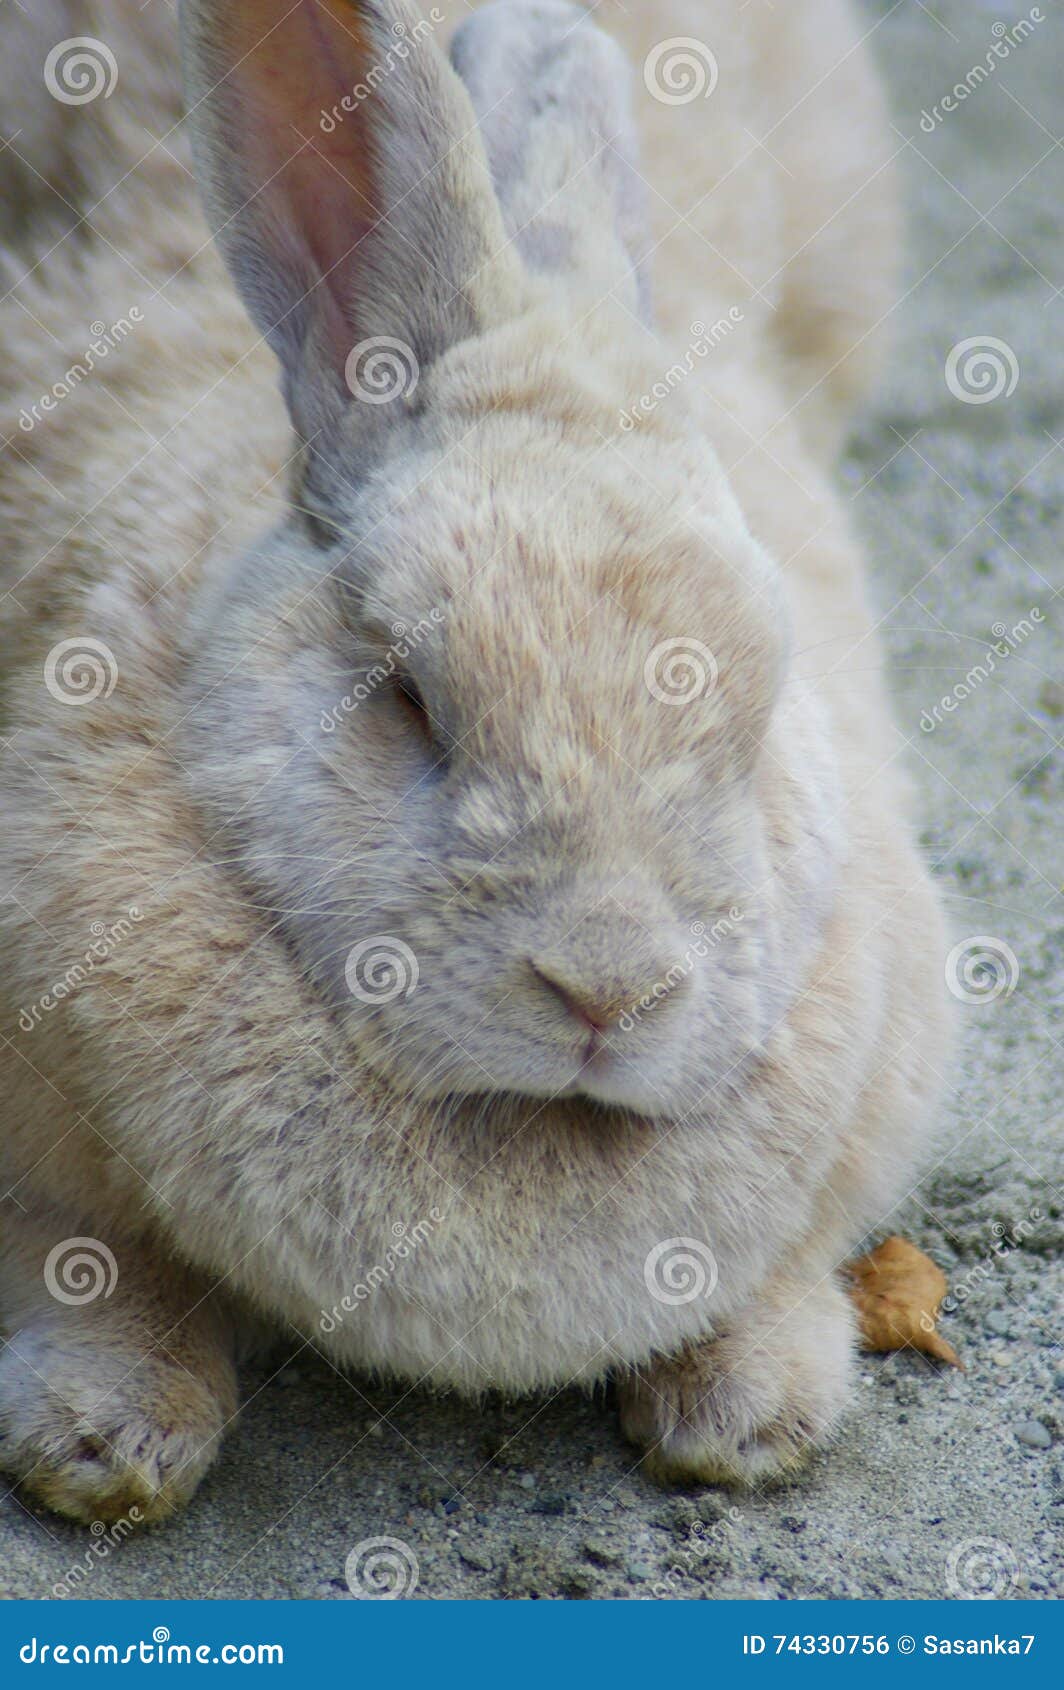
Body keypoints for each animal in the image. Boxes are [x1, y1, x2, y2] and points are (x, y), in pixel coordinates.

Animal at [0, 0, 949, 1526]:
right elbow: (76, 1256)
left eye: (756, 710)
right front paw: (106, 1439)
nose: (607, 991)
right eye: (407, 697)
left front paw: (753, 1414)